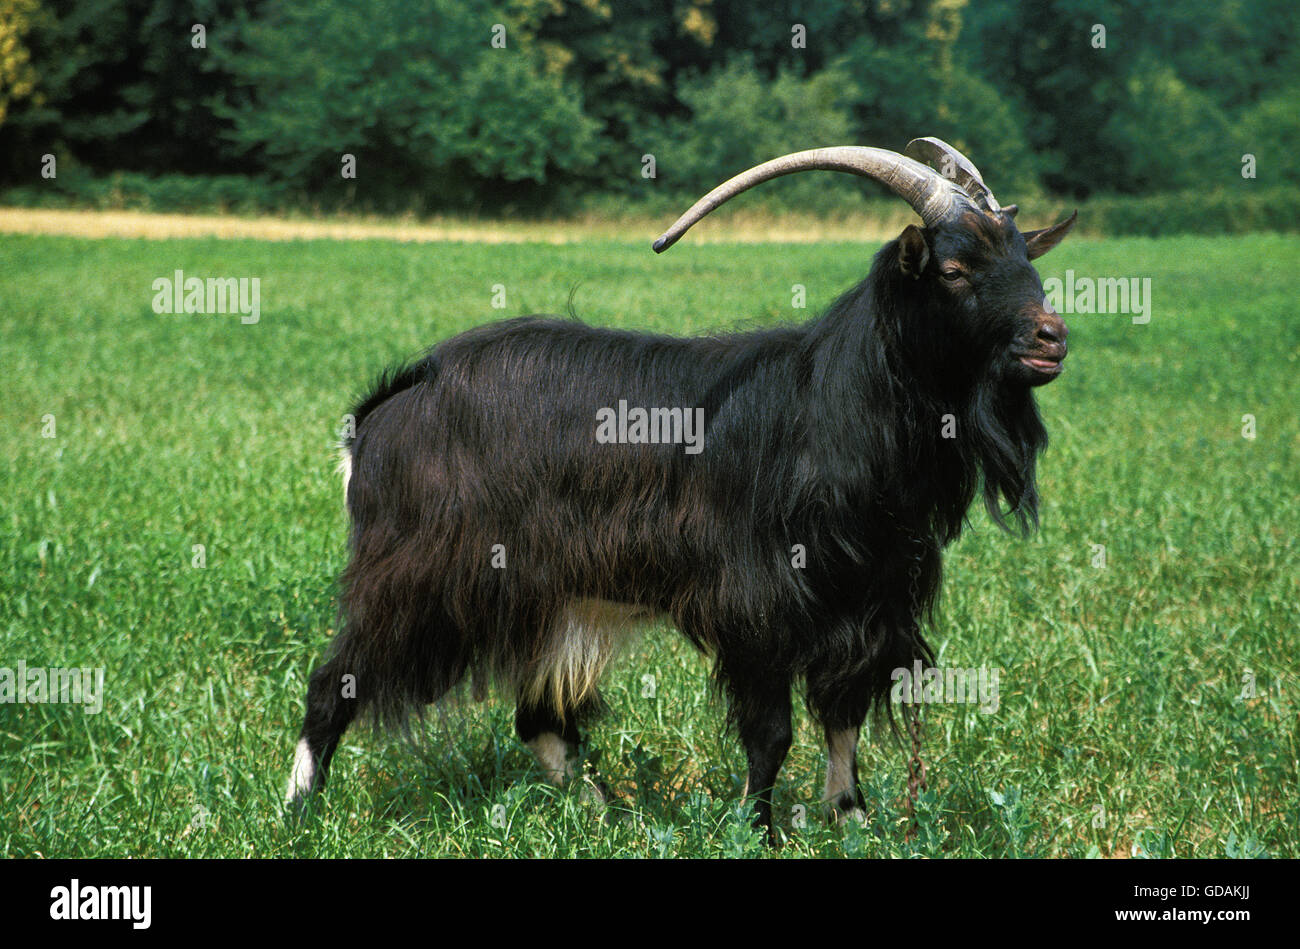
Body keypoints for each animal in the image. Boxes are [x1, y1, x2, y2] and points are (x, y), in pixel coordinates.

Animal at [285, 137, 1076, 842]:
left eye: (1024, 259)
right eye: (954, 268)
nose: (1052, 337)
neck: (831, 403)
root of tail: (385, 410)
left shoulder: (870, 603)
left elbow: (842, 716)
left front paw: (854, 821)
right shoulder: (758, 603)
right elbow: (772, 732)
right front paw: (757, 831)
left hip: (544, 592)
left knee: (539, 717)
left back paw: (608, 813)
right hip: (424, 575)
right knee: (334, 684)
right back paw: (298, 811)